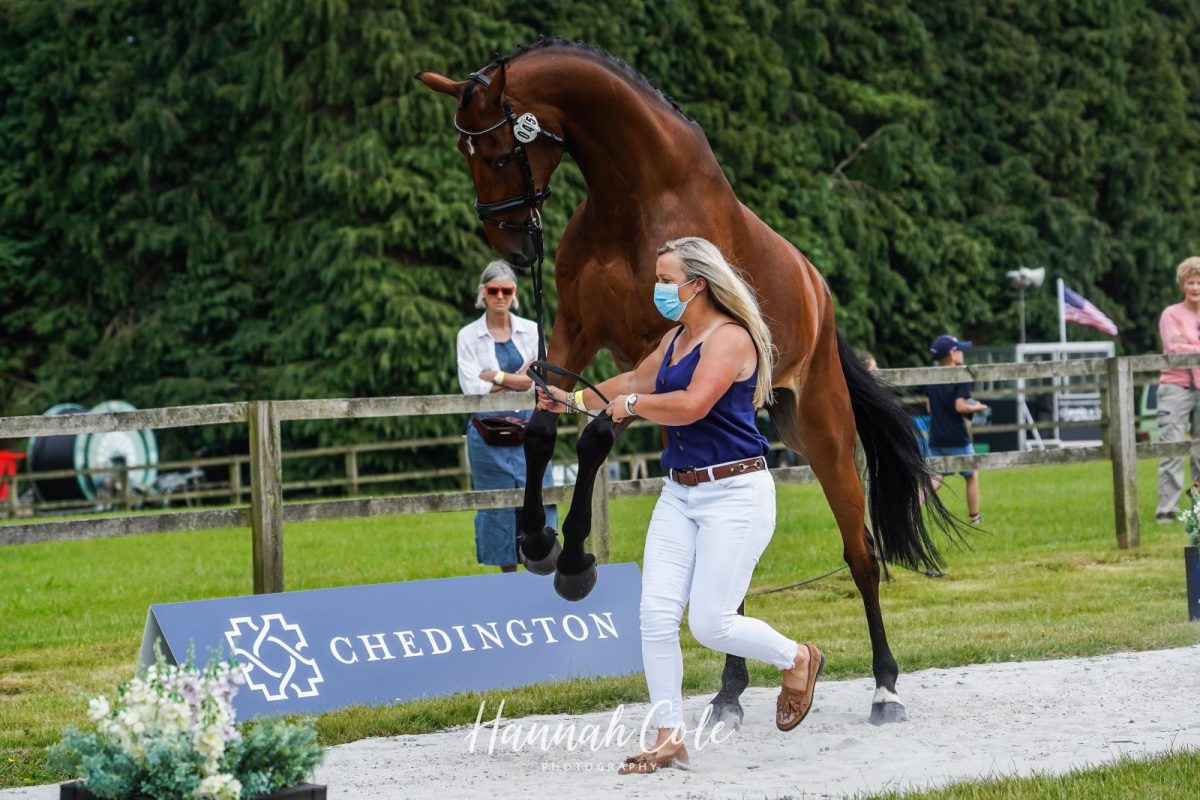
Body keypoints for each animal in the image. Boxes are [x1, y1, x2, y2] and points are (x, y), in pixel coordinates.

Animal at [417, 38, 958, 726]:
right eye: (466, 155)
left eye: (494, 152)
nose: (511, 249)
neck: (635, 198)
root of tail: (818, 289)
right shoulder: (575, 329)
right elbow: (540, 430)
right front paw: (536, 541)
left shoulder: (658, 351)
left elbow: (594, 434)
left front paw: (573, 562)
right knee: (729, 583)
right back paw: (729, 691)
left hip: (824, 430)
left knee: (860, 553)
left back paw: (885, 686)